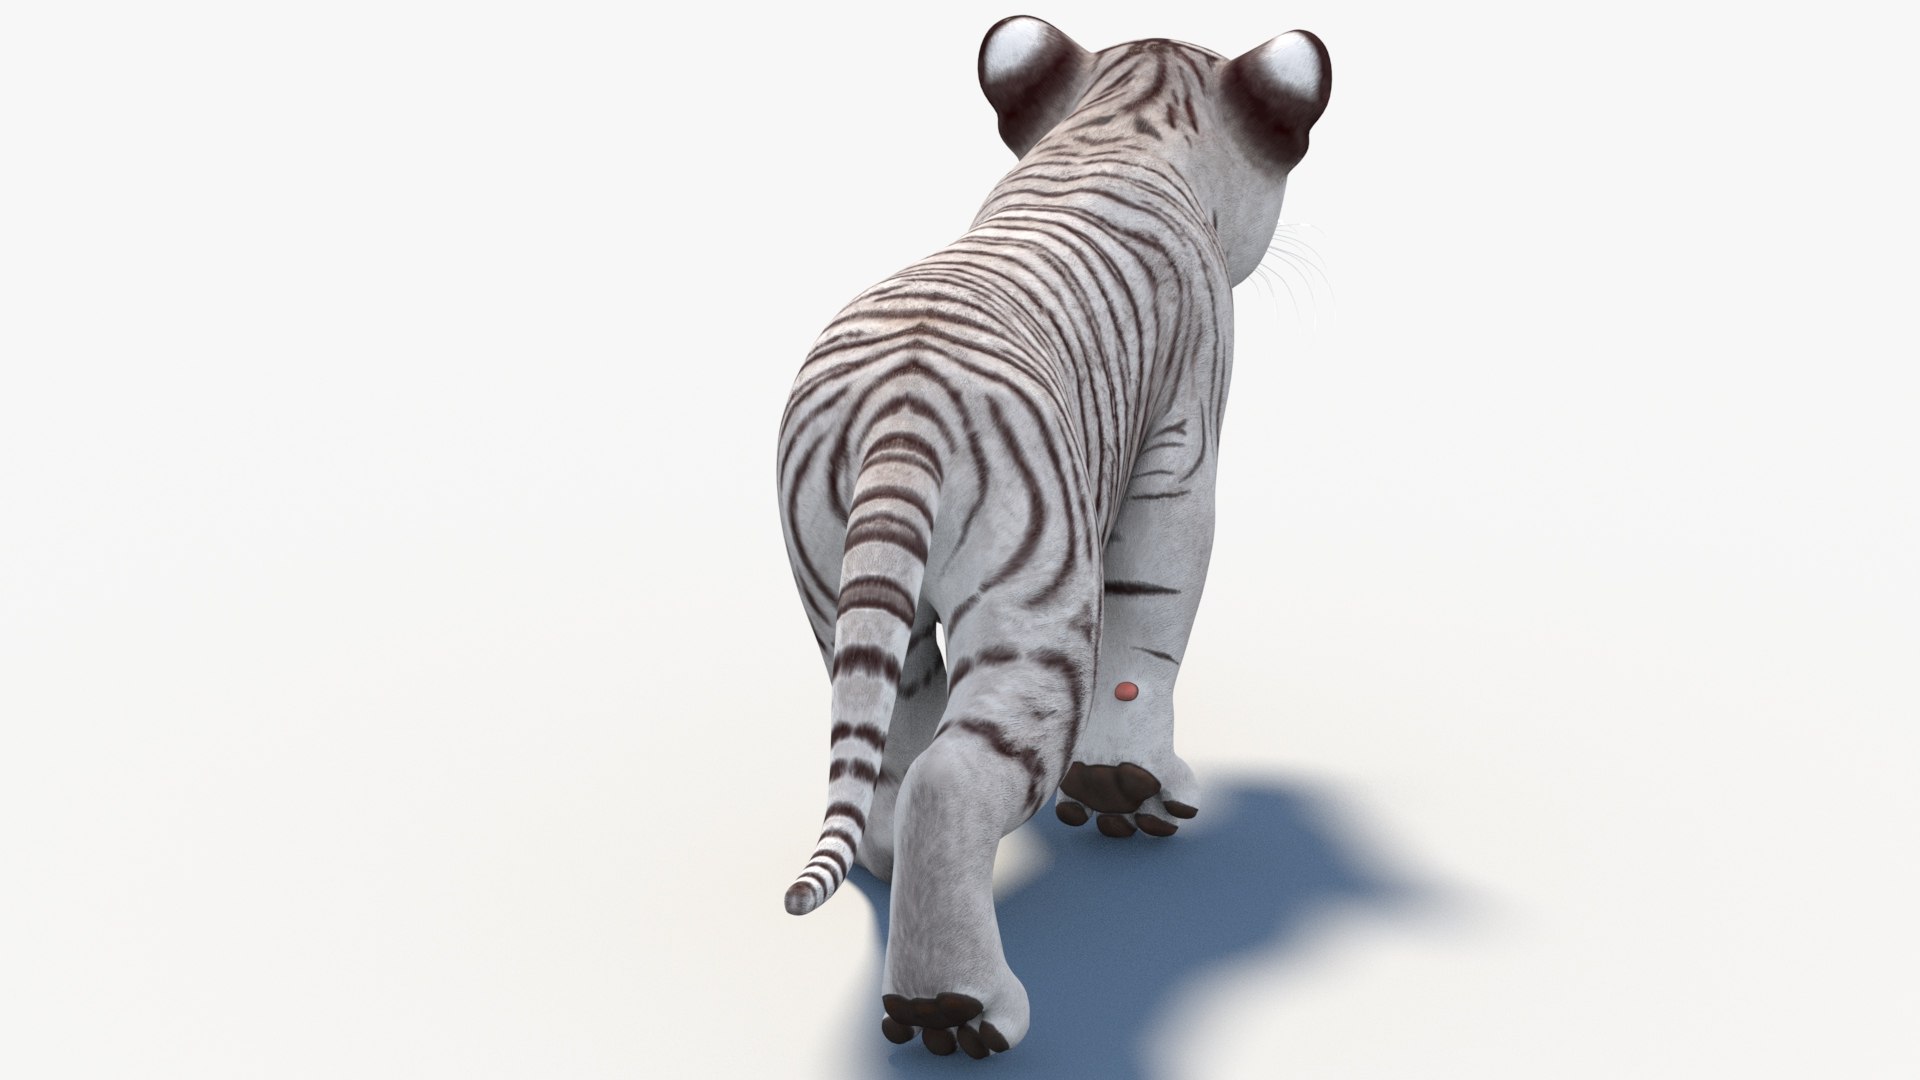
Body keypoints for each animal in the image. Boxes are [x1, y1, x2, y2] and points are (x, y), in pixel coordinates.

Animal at [775, 16, 1331, 1059]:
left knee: (896, 744)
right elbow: (1152, 621)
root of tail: (902, 409)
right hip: (1036, 606)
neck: (1119, 126)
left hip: (838, 584)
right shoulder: (1181, 447)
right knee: (954, 777)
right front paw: (1129, 787)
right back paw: (952, 1011)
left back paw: (886, 863)